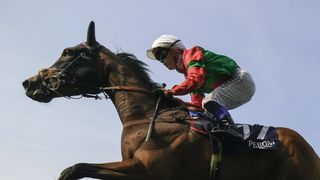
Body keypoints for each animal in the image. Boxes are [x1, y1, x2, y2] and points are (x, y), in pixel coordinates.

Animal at [22, 21, 320, 180]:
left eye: (68, 52)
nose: (30, 83)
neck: (144, 116)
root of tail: (309, 149)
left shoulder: (146, 169)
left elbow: (75, 168)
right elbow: (75, 168)